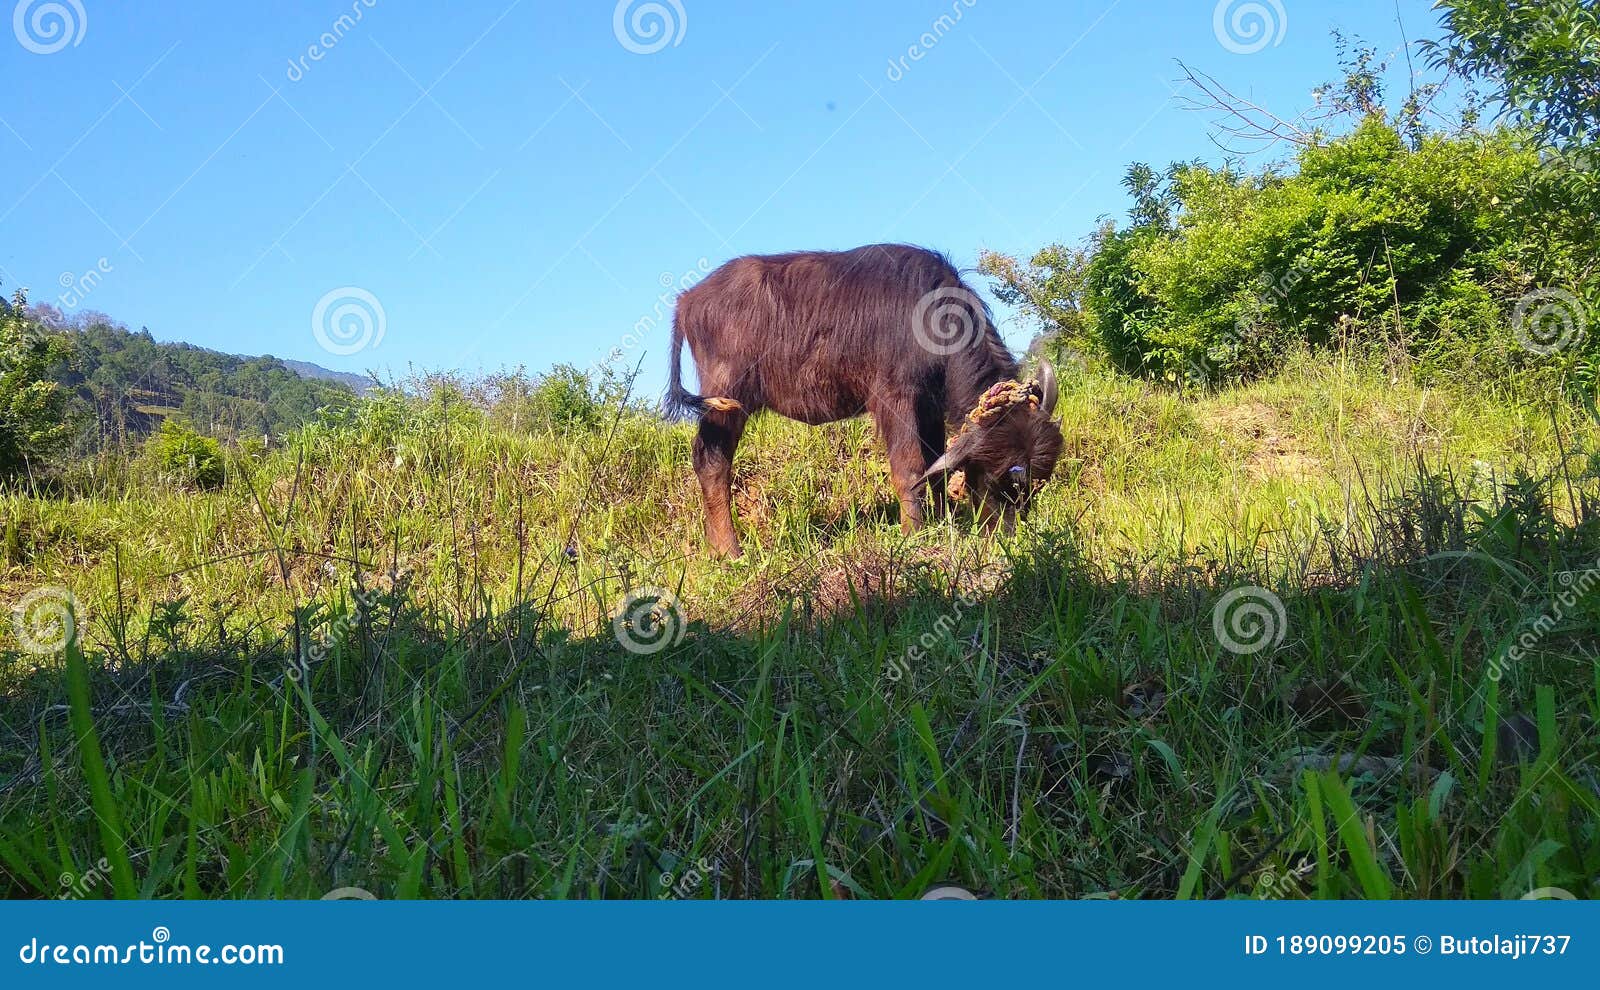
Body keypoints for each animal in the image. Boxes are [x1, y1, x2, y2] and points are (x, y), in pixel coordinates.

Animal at [665, 243, 1063, 557]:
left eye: (1036, 486)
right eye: (999, 480)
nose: (1007, 535)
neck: (934, 321)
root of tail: (688, 301)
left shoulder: (929, 407)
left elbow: (935, 467)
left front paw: (942, 521)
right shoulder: (894, 397)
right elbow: (910, 468)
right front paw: (914, 533)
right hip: (727, 400)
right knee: (712, 462)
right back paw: (729, 551)